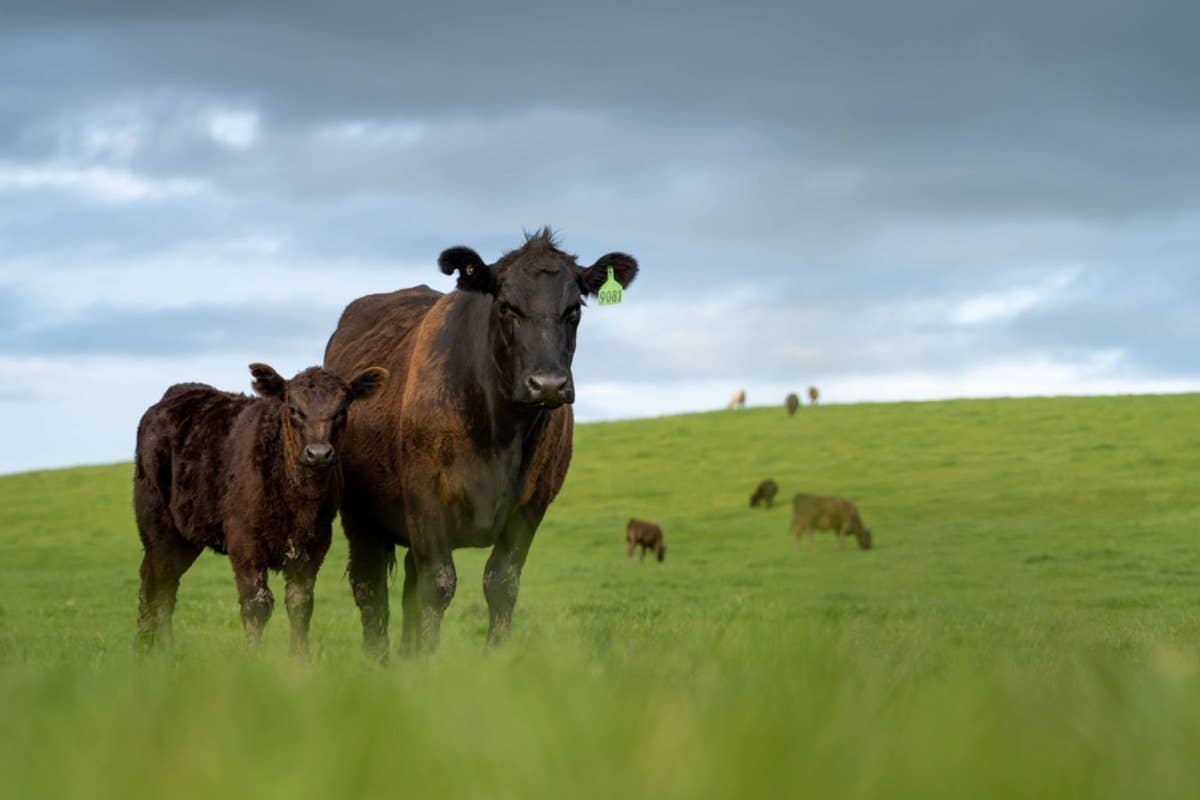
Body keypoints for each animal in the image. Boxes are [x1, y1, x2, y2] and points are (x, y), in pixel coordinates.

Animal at [133, 363, 388, 654]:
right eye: (293, 408)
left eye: (343, 409)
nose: (319, 453)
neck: (299, 505)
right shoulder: (244, 542)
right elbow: (256, 605)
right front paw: (252, 661)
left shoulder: (315, 545)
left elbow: (300, 604)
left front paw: (299, 661)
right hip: (157, 526)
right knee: (156, 583)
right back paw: (153, 649)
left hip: (186, 537)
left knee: (165, 583)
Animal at [324, 228, 639, 658]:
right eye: (507, 306)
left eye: (574, 309)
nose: (548, 384)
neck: (499, 434)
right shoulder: (424, 497)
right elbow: (438, 585)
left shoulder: (533, 505)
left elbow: (500, 583)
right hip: (360, 515)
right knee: (369, 587)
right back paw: (378, 659)